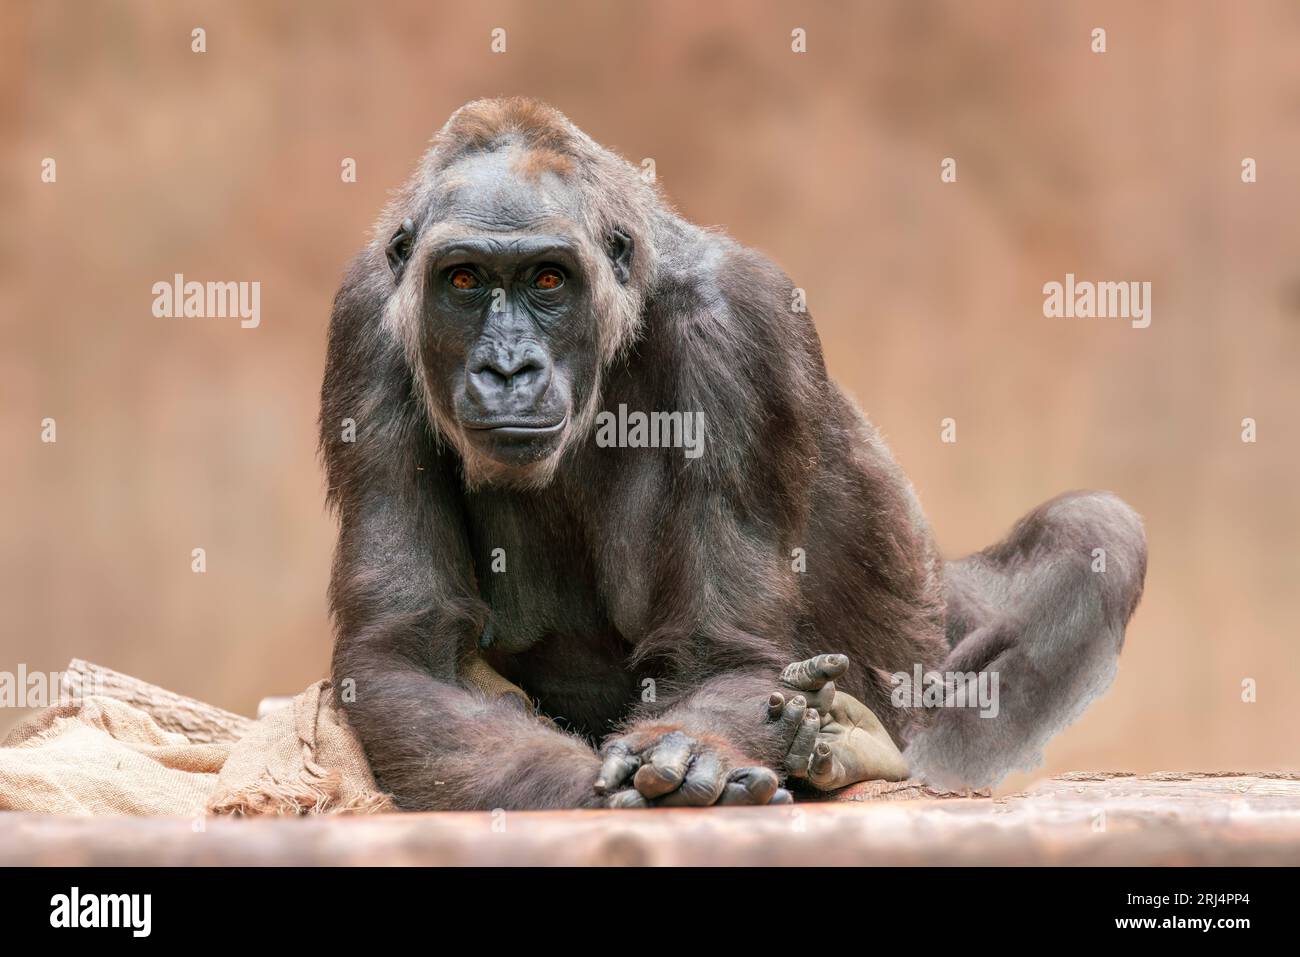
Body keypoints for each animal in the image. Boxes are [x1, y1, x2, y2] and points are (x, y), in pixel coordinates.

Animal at [320, 98, 1147, 810]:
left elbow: (727, 648)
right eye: (463, 279)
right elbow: (412, 653)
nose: (507, 368)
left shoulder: (745, 323)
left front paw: (693, 754)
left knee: (1090, 532)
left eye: (548, 278)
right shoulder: (364, 320)